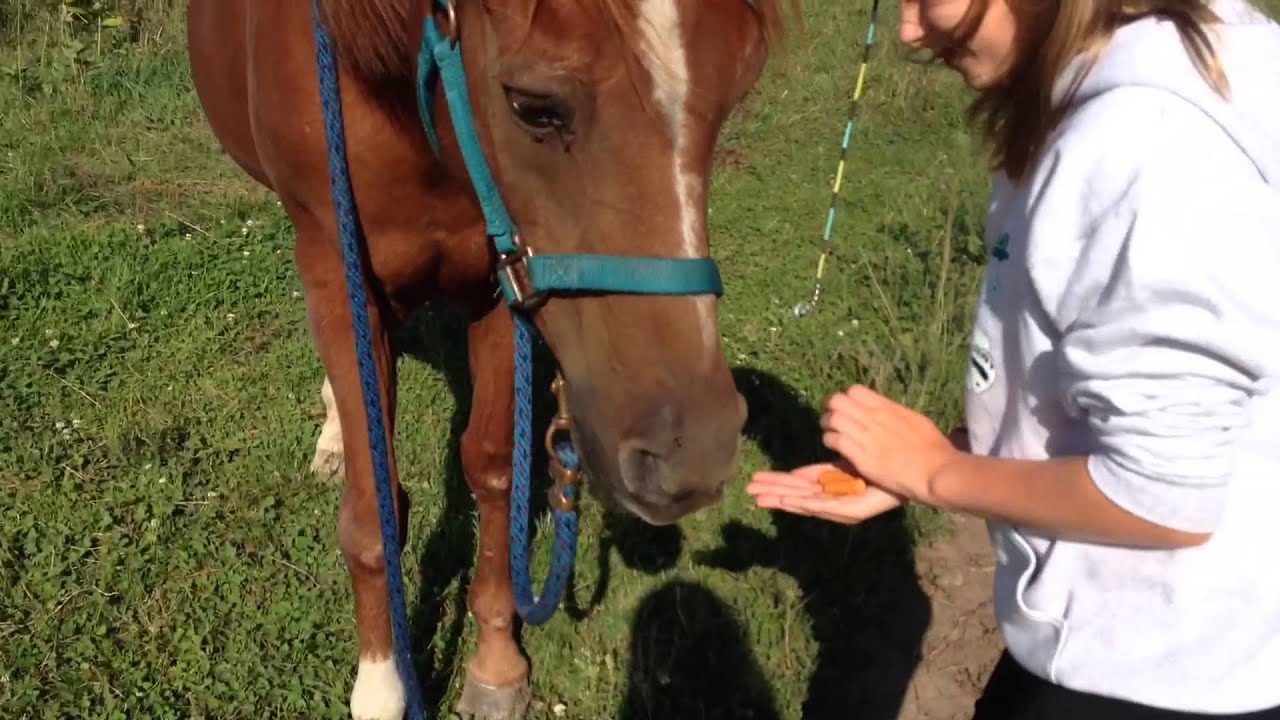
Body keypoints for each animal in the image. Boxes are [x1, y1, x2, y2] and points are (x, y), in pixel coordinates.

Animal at [185, 0, 791, 717]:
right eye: (533, 107)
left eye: (738, 88)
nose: (692, 455)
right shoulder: (340, 274)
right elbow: (373, 506)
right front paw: (381, 686)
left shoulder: (502, 274)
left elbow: (495, 471)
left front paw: (496, 663)